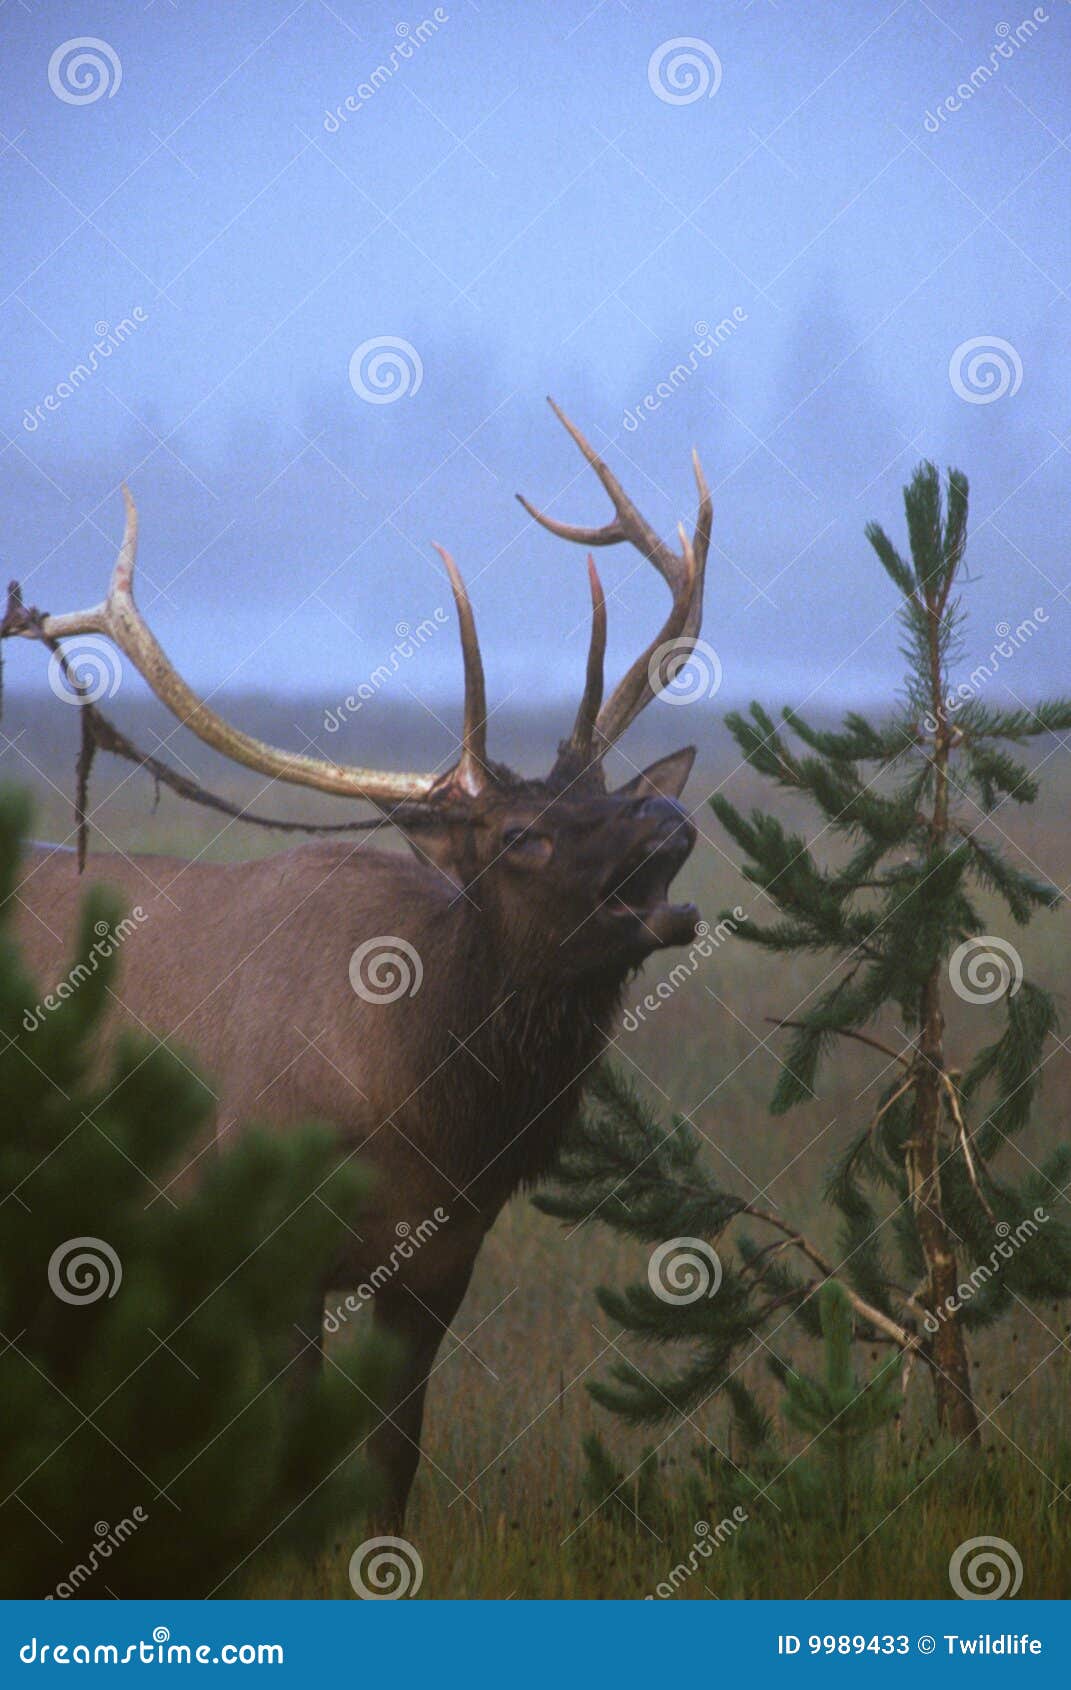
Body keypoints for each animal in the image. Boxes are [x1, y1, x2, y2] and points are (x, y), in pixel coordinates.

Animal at [5, 401, 712, 1524]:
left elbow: (393, 1460)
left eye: (607, 791)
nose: (667, 819)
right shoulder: (273, 1249)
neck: (426, 1111)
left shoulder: (443, 1261)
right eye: (521, 836)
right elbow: (294, 1462)